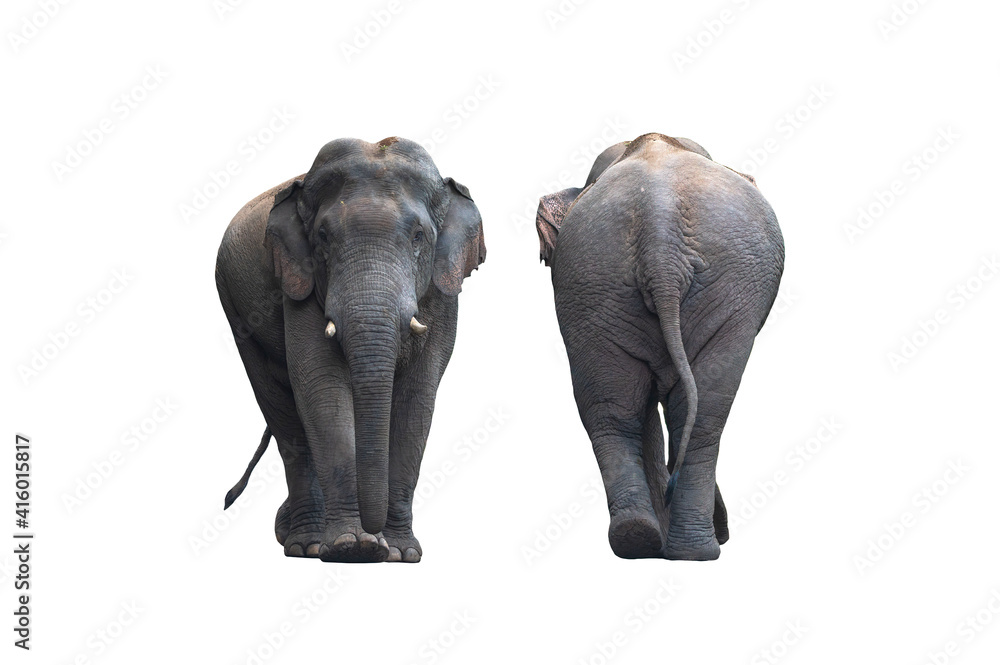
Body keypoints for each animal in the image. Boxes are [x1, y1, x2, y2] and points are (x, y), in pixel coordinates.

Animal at [216, 137, 486, 563]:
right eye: (323, 237)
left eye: (418, 236)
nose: (376, 536)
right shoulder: (299, 281)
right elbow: (321, 385)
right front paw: (353, 547)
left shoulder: (444, 290)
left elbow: (417, 397)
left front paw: (398, 553)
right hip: (233, 306)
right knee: (283, 413)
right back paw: (306, 544)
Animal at [536, 133, 783, 561]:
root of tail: (660, 229)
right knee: (694, 414)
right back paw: (693, 548)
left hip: (597, 282)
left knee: (618, 409)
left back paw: (644, 539)